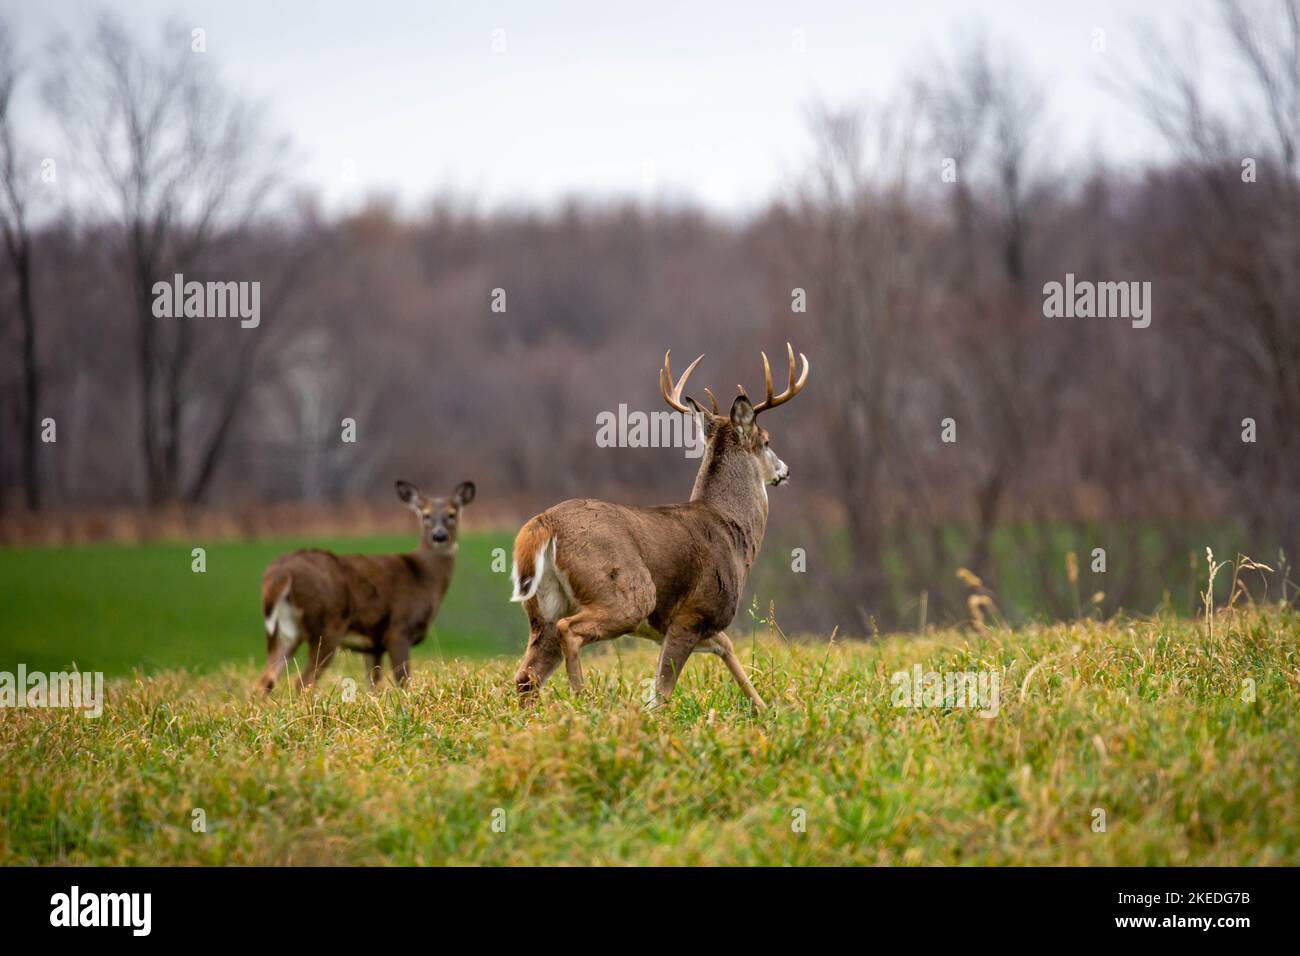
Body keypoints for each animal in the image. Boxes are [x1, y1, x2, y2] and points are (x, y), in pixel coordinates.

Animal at [255, 479, 476, 695]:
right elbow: (403, 682)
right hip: (327, 625)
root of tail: (281, 573)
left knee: (266, 681)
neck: (424, 577)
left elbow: (373, 685)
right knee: (303, 682)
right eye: (426, 515)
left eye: (452, 514)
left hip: (284, 632)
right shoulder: (398, 630)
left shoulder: (373, 646)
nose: (439, 536)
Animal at [509, 345, 809, 711]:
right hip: (628, 591)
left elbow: (727, 648)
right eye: (766, 441)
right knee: (570, 632)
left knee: (526, 676)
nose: (786, 470)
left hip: (543, 610)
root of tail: (543, 525)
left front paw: (765, 709)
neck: (731, 530)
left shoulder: (696, 626)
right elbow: (662, 693)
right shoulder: (693, 612)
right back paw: (584, 702)